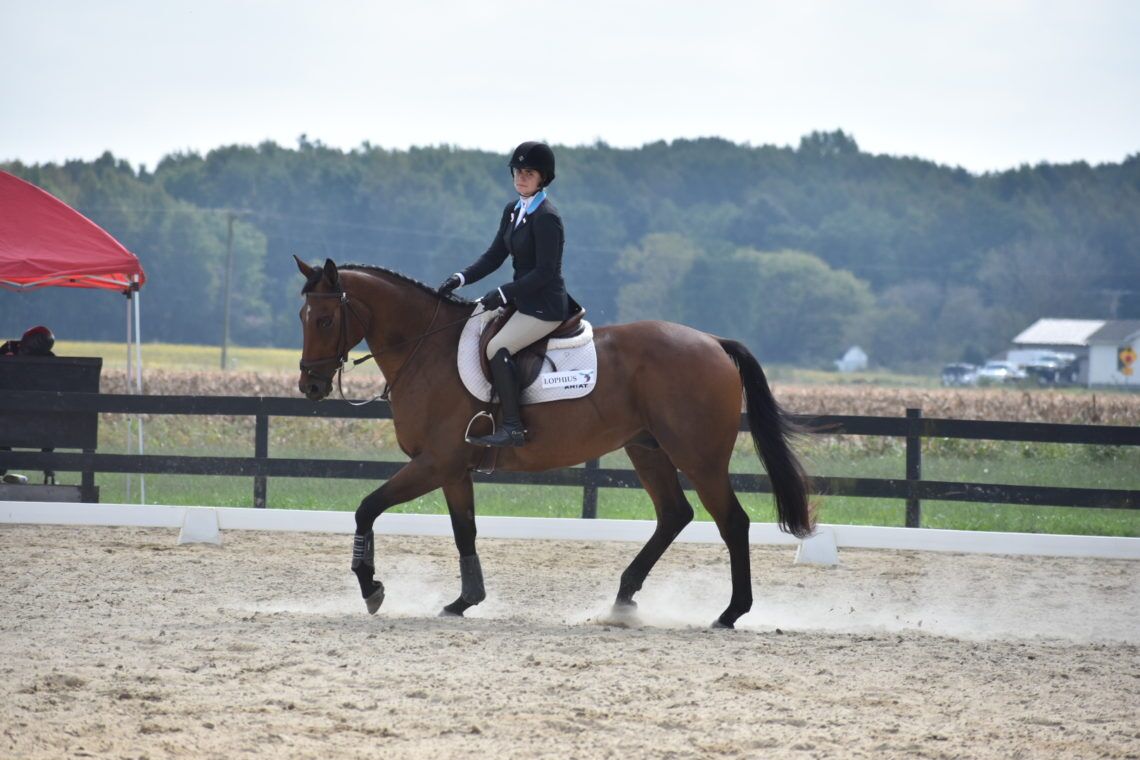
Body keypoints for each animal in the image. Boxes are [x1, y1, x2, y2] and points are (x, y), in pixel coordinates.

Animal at [296, 257, 813, 629]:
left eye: (324, 320)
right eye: (303, 316)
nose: (311, 387)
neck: (427, 349)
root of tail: (713, 341)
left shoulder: (434, 462)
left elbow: (367, 507)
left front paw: (371, 588)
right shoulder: (452, 469)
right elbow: (465, 531)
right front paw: (464, 601)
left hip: (698, 456)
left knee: (732, 522)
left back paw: (730, 613)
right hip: (646, 449)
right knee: (674, 515)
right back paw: (622, 602)